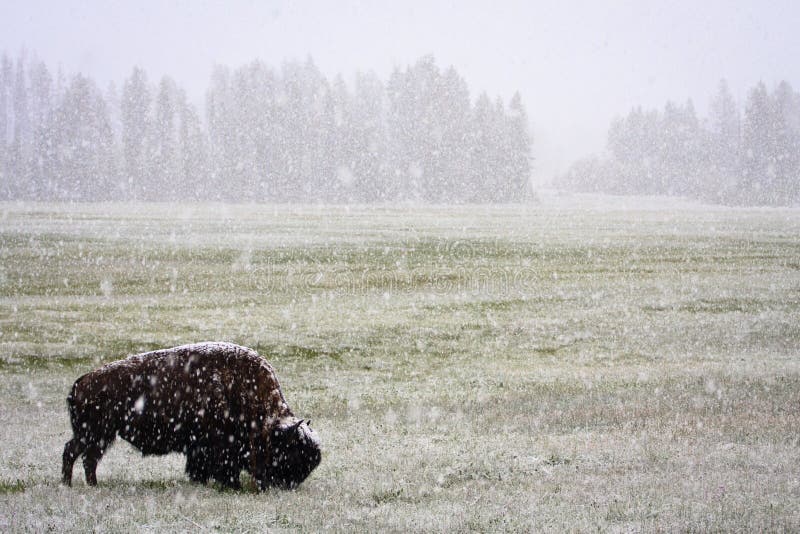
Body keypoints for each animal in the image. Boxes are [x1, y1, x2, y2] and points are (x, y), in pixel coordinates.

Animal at [62, 342, 321, 490]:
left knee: (87, 458)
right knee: (75, 453)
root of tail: (81, 382)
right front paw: (232, 486)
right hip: (94, 434)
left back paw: (89, 485)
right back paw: (72, 484)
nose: (289, 485)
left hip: (100, 436)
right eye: (291, 451)